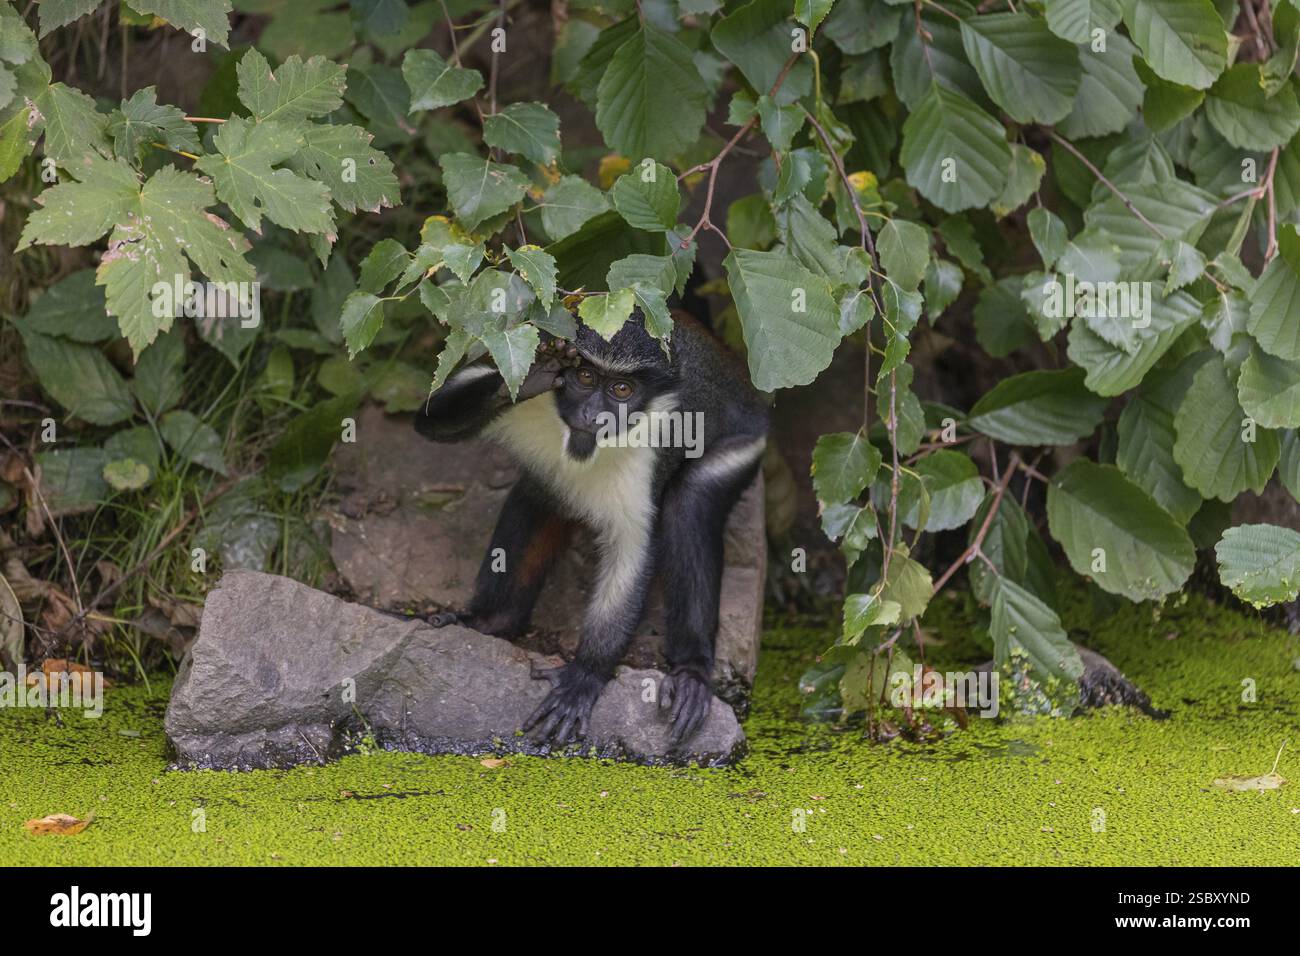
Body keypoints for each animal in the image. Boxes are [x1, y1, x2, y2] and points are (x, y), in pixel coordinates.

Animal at [415, 309, 768, 748]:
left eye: (621, 389)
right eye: (584, 377)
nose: (591, 416)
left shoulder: (655, 444)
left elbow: (633, 549)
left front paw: (585, 675)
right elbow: (428, 418)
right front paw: (534, 375)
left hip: (743, 446)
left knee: (690, 502)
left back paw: (692, 671)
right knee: (538, 492)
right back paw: (490, 620)